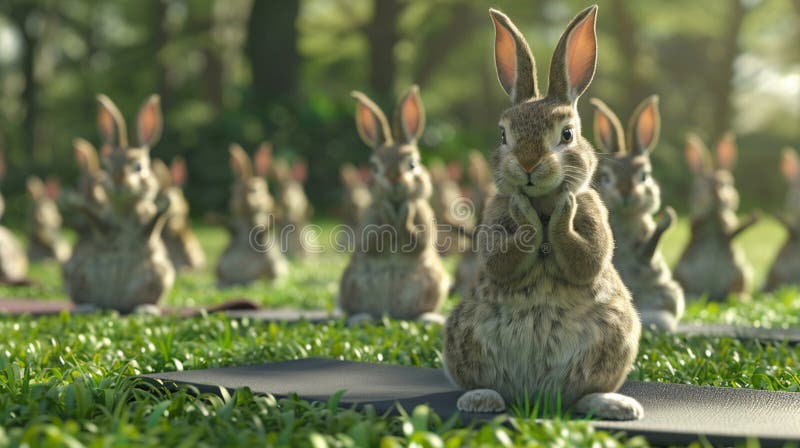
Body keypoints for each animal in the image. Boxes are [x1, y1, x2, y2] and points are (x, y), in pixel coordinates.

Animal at [63, 94, 175, 312]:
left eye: (138, 167)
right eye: (106, 166)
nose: (117, 183)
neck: (125, 209)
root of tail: (116, 304)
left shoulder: (145, 229)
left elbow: (153, 224)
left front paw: (165, 201)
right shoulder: (105, 227)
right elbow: (95, 221)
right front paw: (74, 200)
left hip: (156, 275)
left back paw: (144, 309)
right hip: (80, 276)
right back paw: (88, 307)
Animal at [339, 85, 450, 325]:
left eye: (412, 164)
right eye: (374, 167)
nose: (394, 181)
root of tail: (391, 313)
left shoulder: (424, 220)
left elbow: (419, 241)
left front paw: (403, 216)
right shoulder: (369, 224)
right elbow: (373, 241)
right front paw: (390, 216)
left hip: (432, 283)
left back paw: (427, 317)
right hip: (352, 284)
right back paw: (362, 318)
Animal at [443, 6, 643, 421]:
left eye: (567, 134)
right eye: (504, 135)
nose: (529, 165)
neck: (543, 203)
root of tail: (535, 395)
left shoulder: (594, 215)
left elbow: (589, 257)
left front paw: (561, 211)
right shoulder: (494, 217)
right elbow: (500, 257)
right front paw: (526, 214)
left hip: (616, 335)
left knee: (582, 394)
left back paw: (614, 404)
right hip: (463, 332)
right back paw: (480, 399)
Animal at [590, 96, 685, 331]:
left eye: (644, 175)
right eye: (605, 176)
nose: (626, 192)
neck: (625, 218)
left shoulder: (646, 251)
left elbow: (647, 251)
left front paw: (666, 219)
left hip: (668, 292)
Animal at [673, 133, 757, 302]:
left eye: (727, 183)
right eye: (700, 185)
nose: (716, 192)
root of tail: (712, 294)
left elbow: (729, 223)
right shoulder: (696, 221)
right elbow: (698, 222)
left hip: (740, 273)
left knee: (735, 291)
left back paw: (740, 298)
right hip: (682, 274)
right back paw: (692, 296)